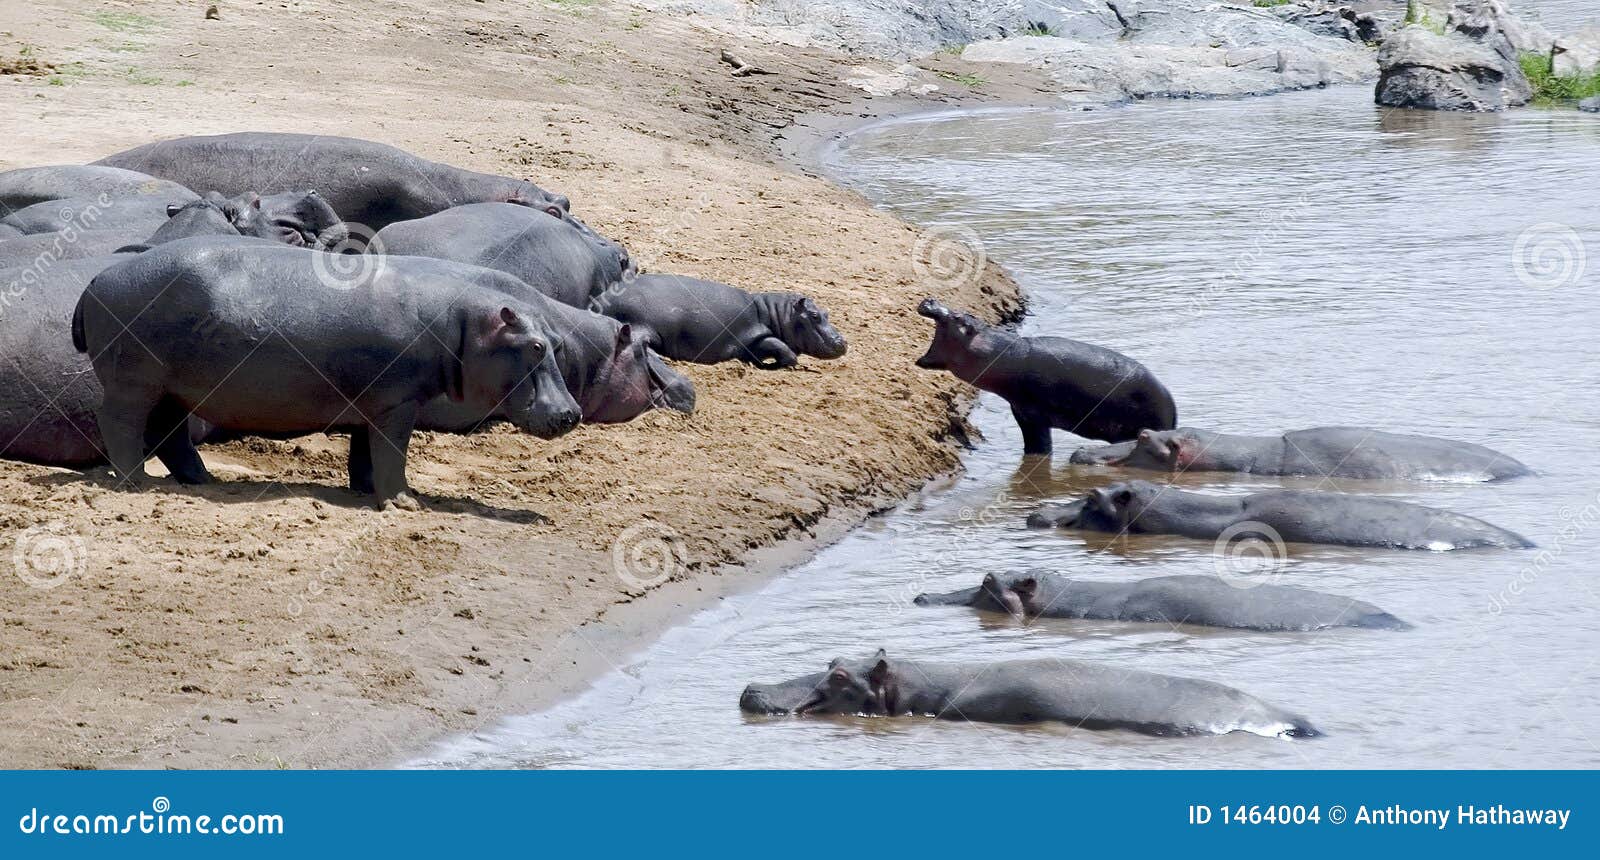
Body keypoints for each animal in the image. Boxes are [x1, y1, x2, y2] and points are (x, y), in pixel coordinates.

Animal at [73, 237, 580, 504]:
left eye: (556, 343)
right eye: (535, 346)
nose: (573, 413)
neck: (461, 322)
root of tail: (97, 279)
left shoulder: (373, 403)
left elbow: (365, 452)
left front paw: (368, 490)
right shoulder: (397, 403)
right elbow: (392, 451)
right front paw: (404, 501)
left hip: (173, 387)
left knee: (169, 431)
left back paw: (202, 481)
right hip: (134, 382)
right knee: (119, 422)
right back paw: (135, 482)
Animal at [589, 273, 848, 369]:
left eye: (827, 313)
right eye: (814, 316)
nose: (842, 342)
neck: (775, 314)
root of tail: (600, 301)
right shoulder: (756, 335)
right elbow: (781, 347)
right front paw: (782, 365)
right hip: (644, 325)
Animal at [914, 298, 1175, 453]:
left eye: (959, 317)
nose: (931, 300)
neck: (1001, 351)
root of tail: (1172, 414)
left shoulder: (1034, 416)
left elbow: (1040, 447)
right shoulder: (1022, 414)